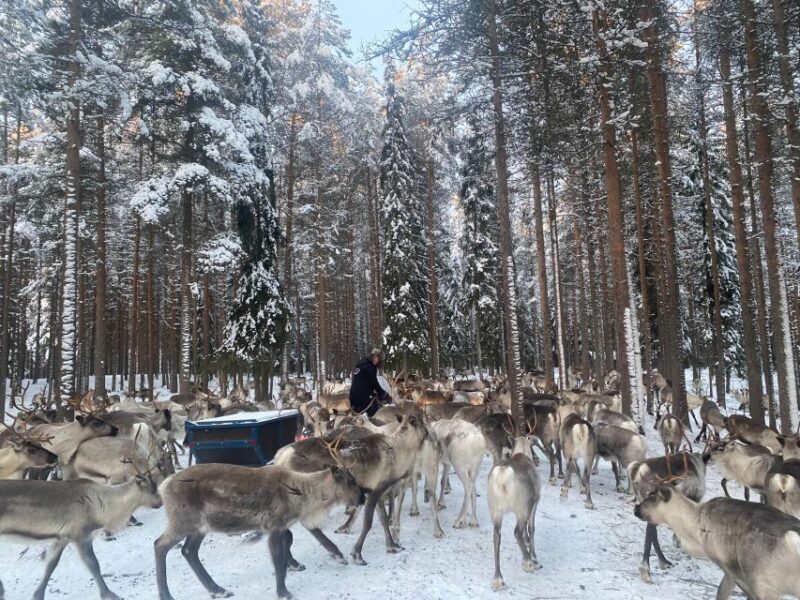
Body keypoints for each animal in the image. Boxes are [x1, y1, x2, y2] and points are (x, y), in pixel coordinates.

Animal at [155, 463, 365, 600]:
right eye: (350, 481)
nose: (363, 498)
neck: (301, 492)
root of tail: (163, 486)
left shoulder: (284, 524)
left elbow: (297, 539)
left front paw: (337, 556)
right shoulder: (275, 526)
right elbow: (278, 558)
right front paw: (283, 592)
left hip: (199, 528)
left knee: (188, 551)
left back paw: (218, 590)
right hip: (182, 522)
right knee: (160, 545)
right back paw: (167, 595)